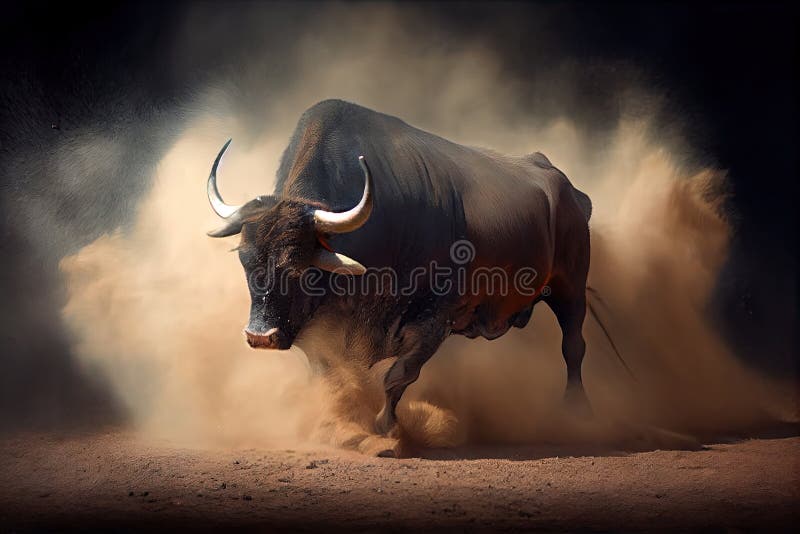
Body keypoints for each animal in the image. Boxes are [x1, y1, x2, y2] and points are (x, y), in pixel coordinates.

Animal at [206, 99, 594, 453]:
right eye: (246, 262)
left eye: (298, 266)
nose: (260, 336)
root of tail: (568, 190)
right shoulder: (320, 332)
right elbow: (332, 380)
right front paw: (338, 429)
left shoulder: (435, 320)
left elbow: (398, 377)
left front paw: (387, 431)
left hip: (570, 287)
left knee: (573, 345)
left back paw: (577, 411)